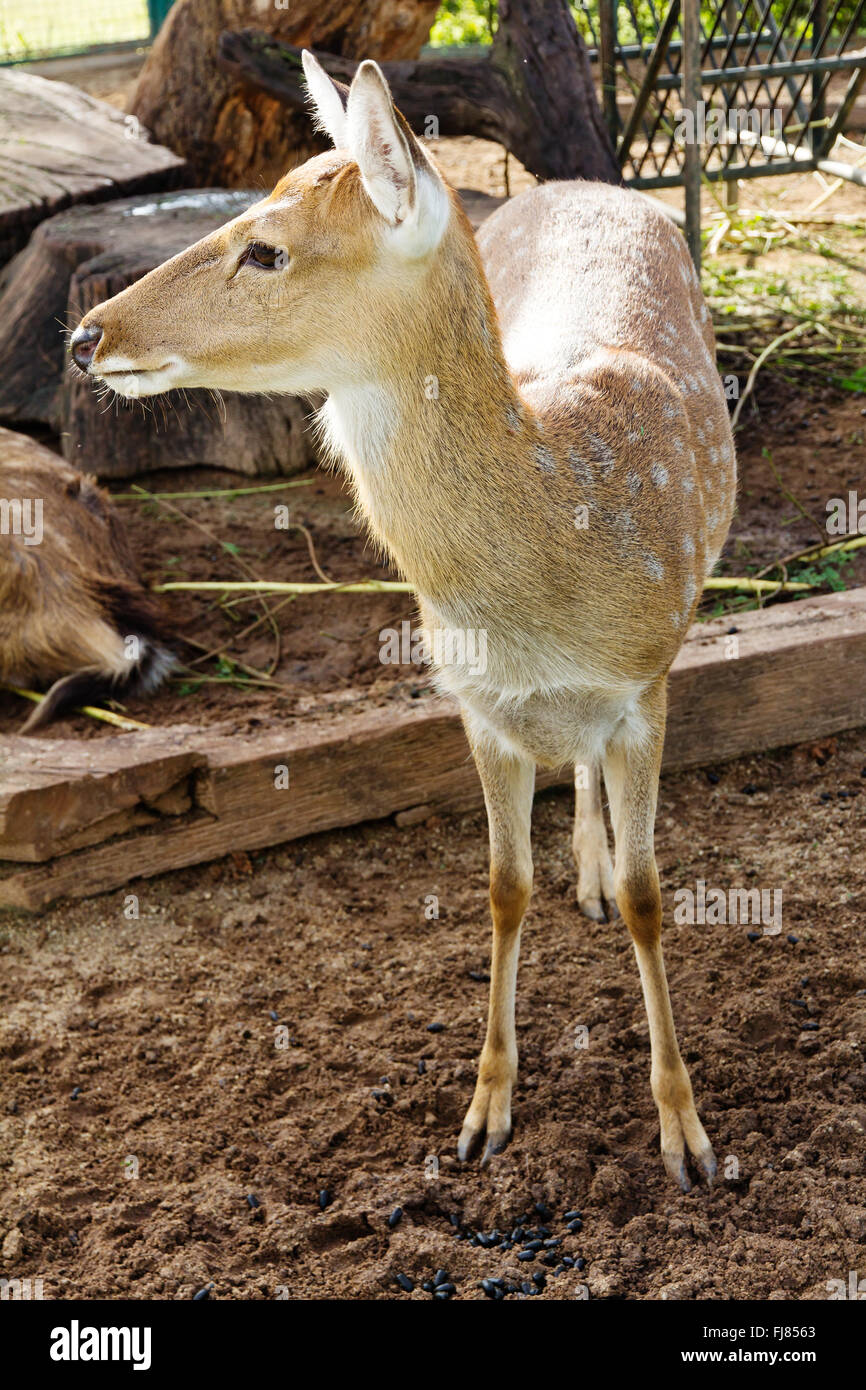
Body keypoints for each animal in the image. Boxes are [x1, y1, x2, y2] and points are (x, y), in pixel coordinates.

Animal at [69, 52, 736, 1189]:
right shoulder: (473, 700)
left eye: (266, 249)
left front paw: (685, 1135)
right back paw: (585, 875)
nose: (86, 333)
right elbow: (501, 886)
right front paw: (482, 1115)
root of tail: (574, 184)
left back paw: (600, 883)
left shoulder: (647, 678)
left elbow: (655, 893)